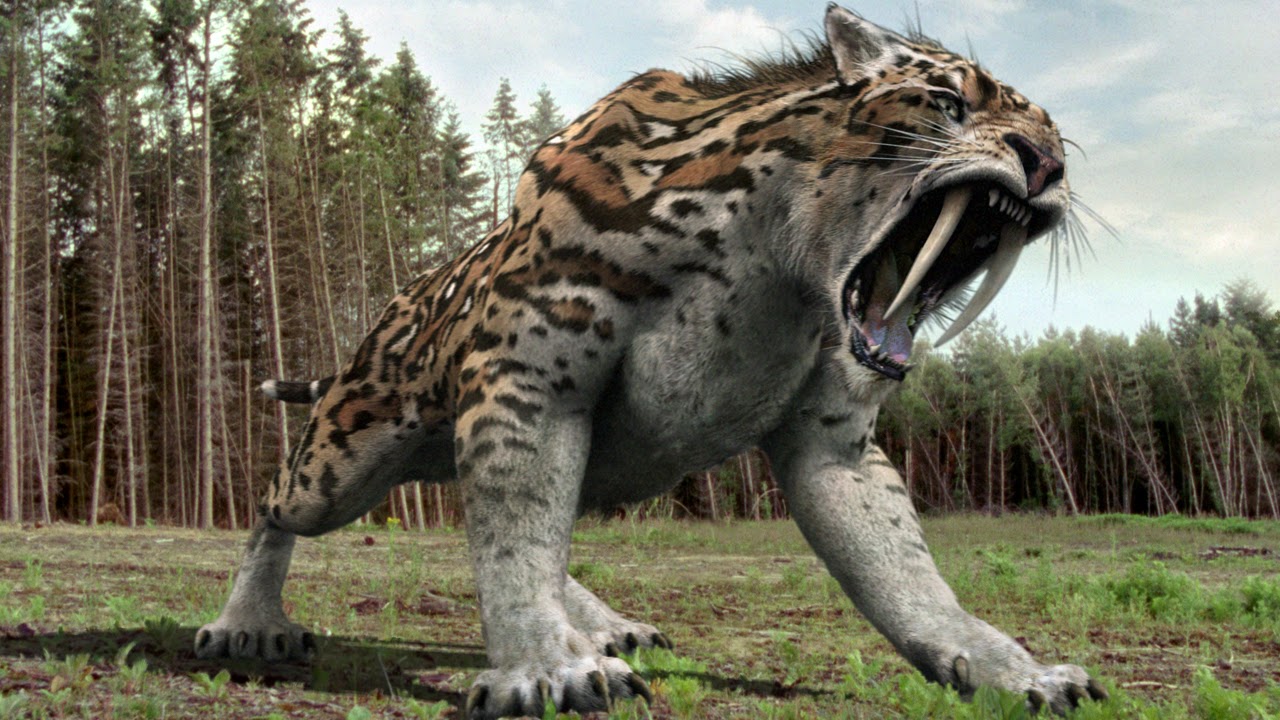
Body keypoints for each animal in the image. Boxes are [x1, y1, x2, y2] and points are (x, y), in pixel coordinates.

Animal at [195, 5, 1107, 717]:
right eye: (950, 104)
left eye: (1054, 136)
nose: (1049, 165)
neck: (780, 262)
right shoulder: (532, 382)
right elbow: (514, 546)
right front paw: (546, 670)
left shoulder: (835, 440)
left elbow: (909, 576)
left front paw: (1014, 670)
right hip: (343, 462)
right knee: (275, 505)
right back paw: (248, 623)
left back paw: (604, 625)